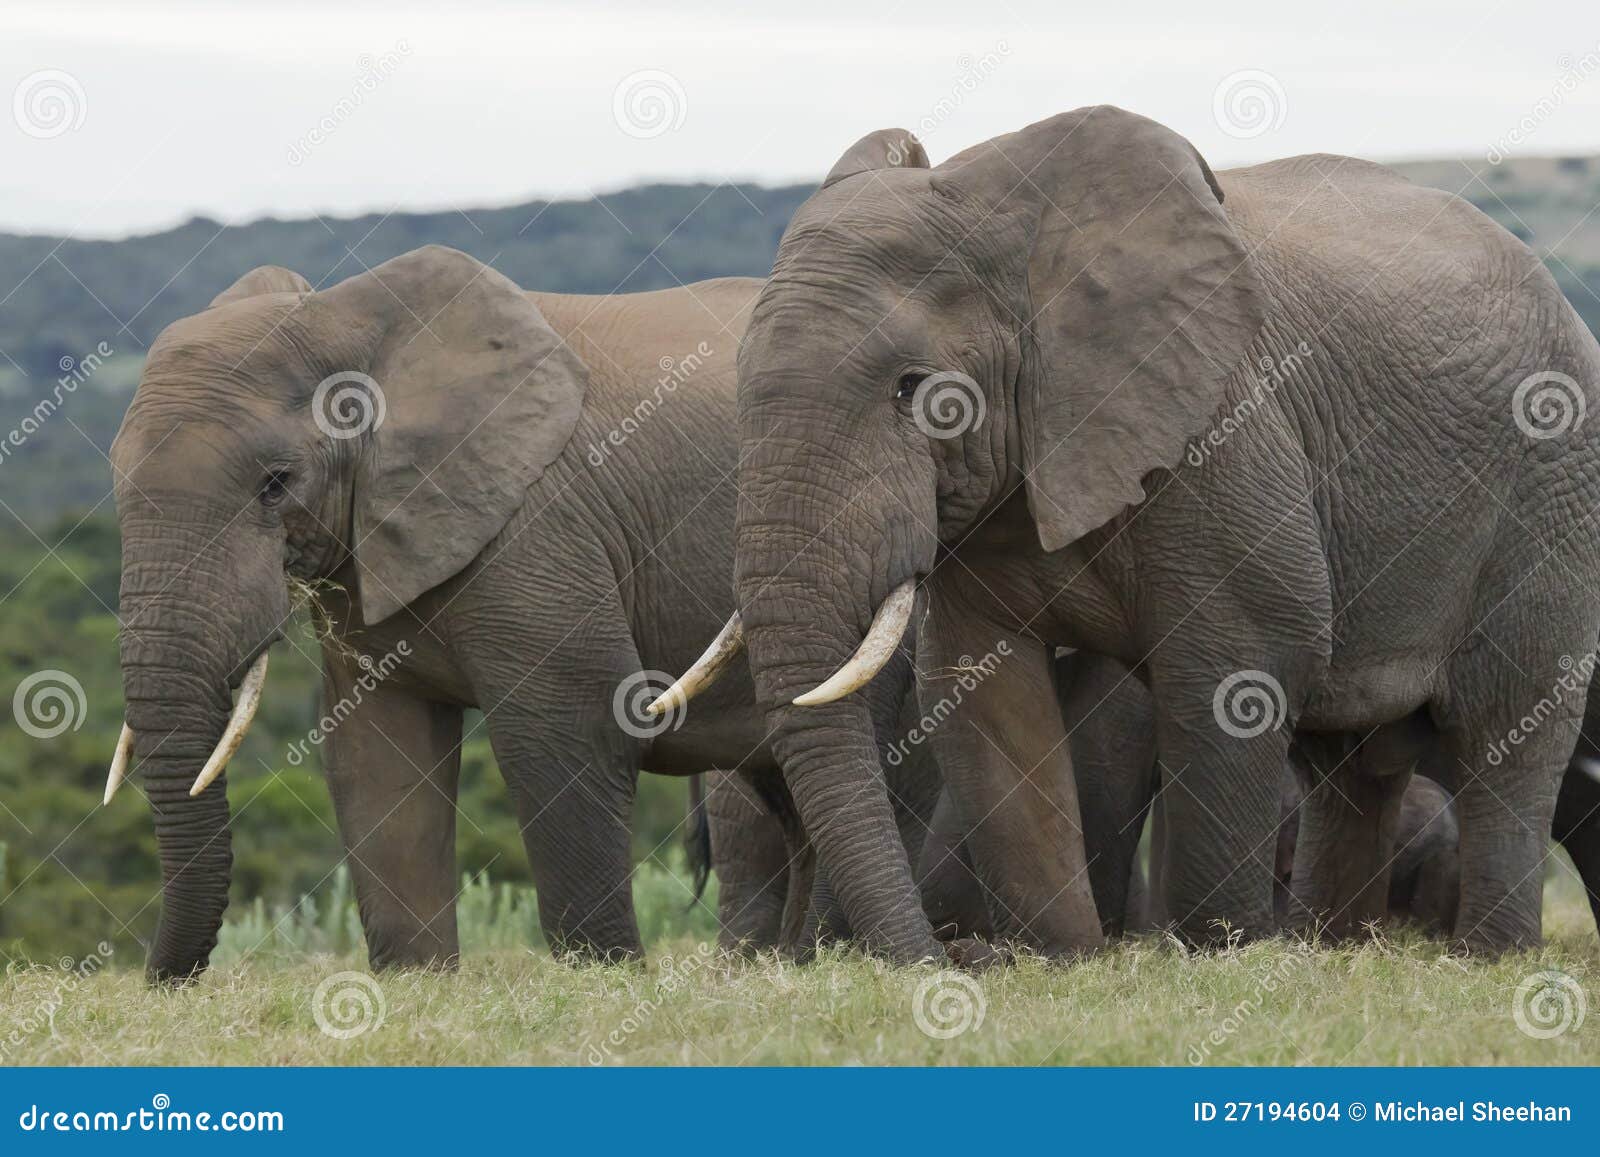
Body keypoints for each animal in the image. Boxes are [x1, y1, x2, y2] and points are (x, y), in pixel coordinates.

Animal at [107, 246, 945, 982]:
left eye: (275, 483)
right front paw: (419, 985)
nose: (160, 979)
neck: (350, 318)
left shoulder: (539, 524)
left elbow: (573, 718)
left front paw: (605, 978)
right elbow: (377, 749)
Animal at [654, 106, 1600, 965]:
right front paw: (1062, 959)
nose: (940, 957)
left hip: (1553, 492)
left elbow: (1249, 656)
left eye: (913, 391)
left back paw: (1487, 958)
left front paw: (1220, 955)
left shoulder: (1221, 421)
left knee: (1505, 726)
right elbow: (982, 685)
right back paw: (1332, 951)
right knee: (1352, 765)